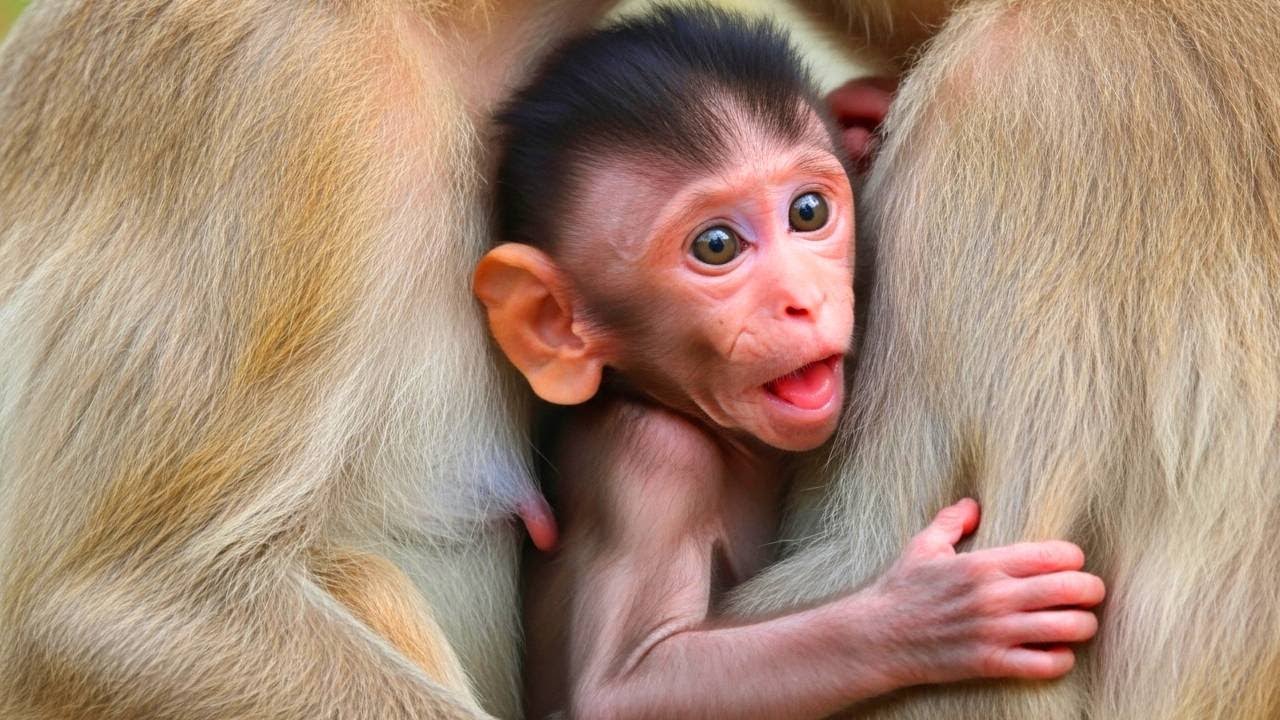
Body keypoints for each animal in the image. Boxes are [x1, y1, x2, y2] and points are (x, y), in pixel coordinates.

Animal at [474, 8, 1103, 718]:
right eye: (716, 246)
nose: (803, 299)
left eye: (809, 211)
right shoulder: (652, 462)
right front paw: (931, 613)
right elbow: (628, 685)